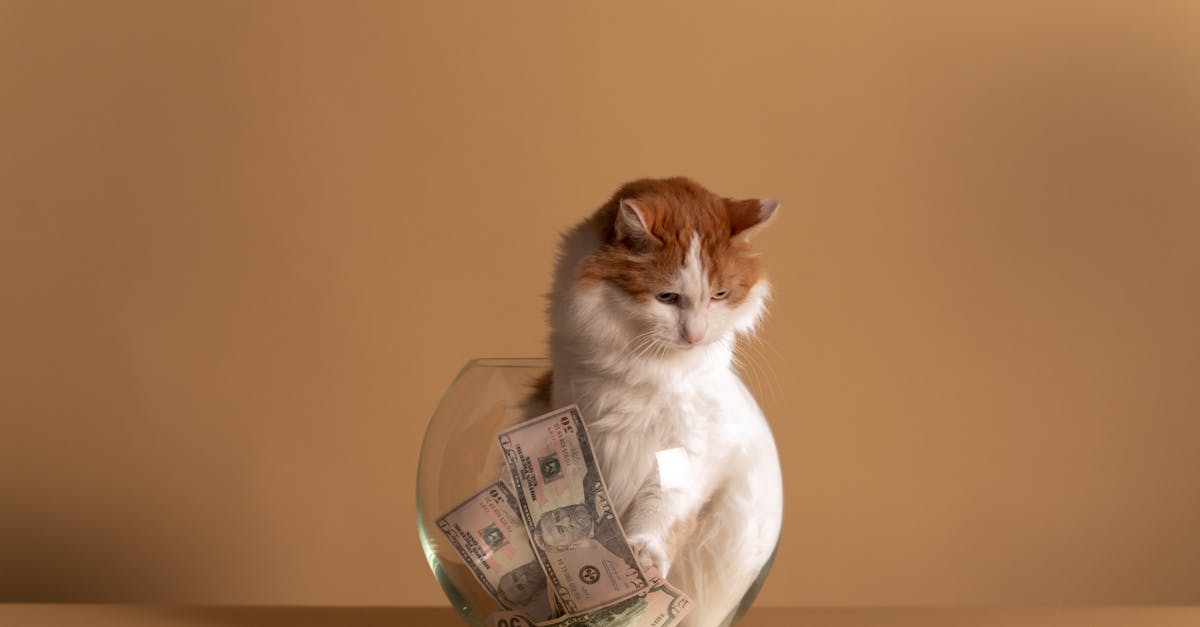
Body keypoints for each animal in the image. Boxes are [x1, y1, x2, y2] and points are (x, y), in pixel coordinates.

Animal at [535, 175, 787, 624]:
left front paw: (643, 555)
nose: (695, 335)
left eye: (719, 295)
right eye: (667, 297)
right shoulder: (584, 423)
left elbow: (662, 511)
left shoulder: (687, 452)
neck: (646, 367)